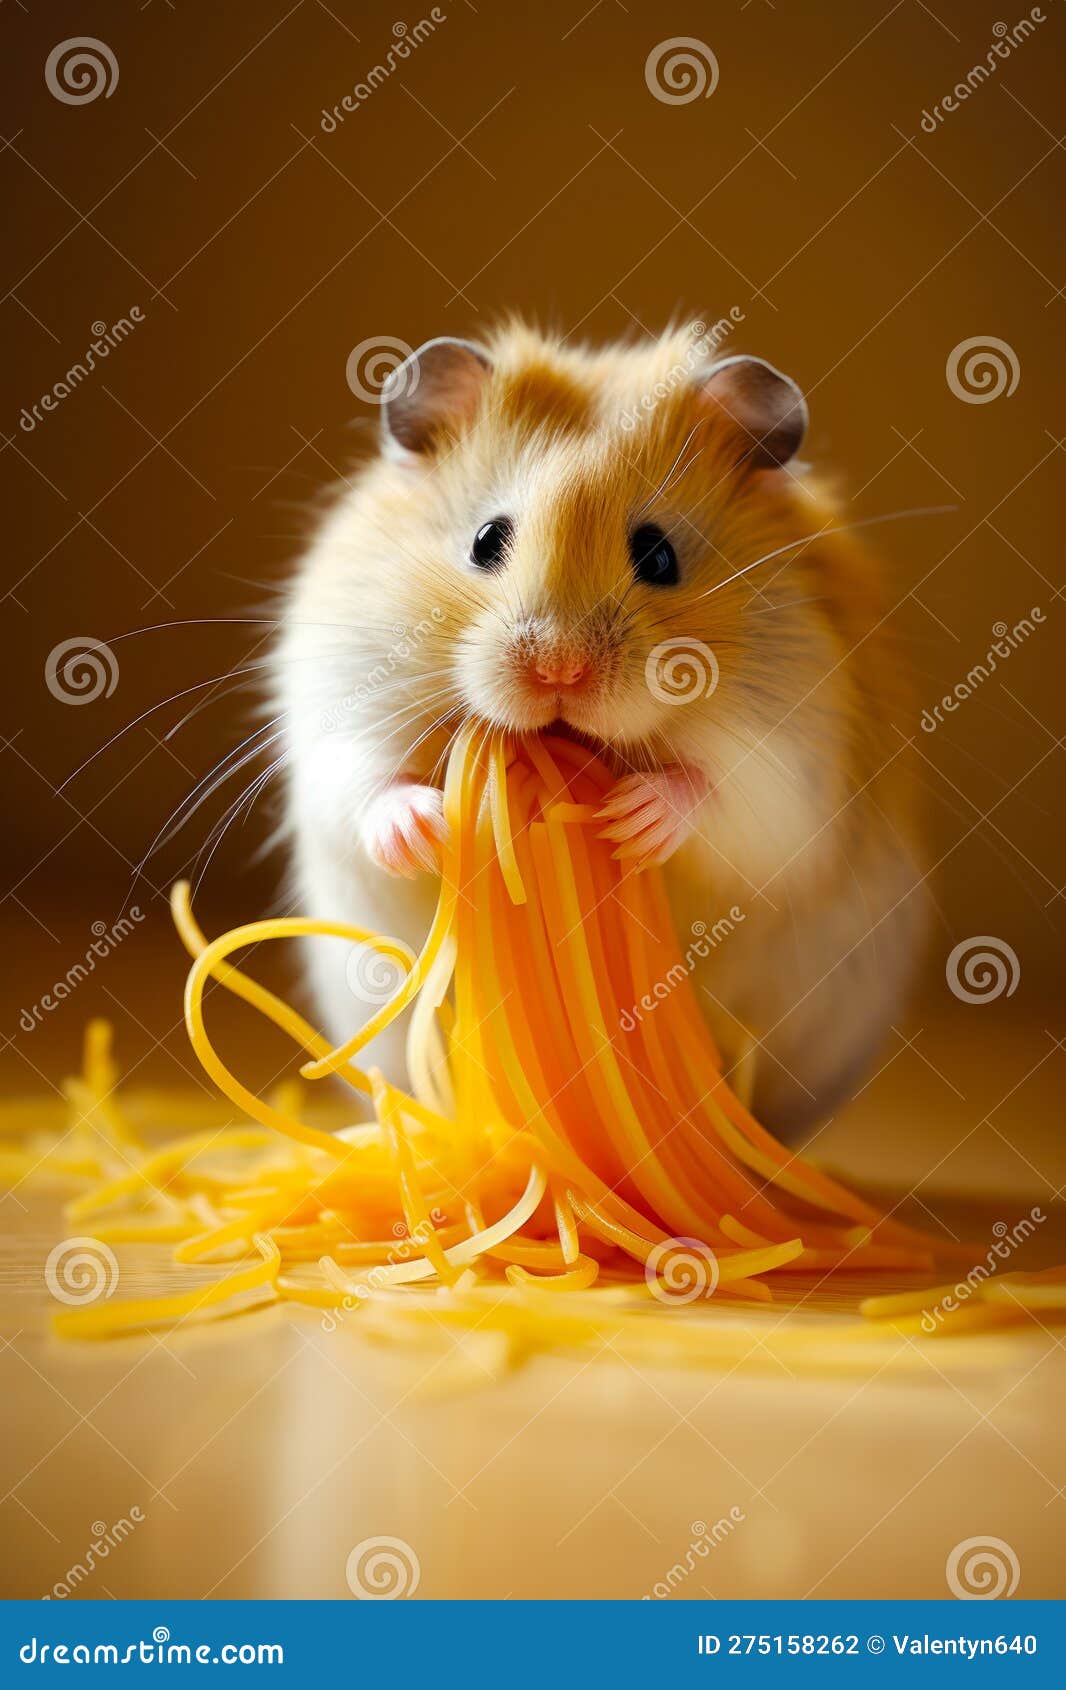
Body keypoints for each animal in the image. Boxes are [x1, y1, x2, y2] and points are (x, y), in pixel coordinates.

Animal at [276, 322, 927, 1136]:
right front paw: (424, 830)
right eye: (485, 540)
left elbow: (720, 798)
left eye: (659, 555)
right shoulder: (341, 706)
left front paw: (628, 818)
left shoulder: (793, 767)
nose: (559, 671)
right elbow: (366, 783)